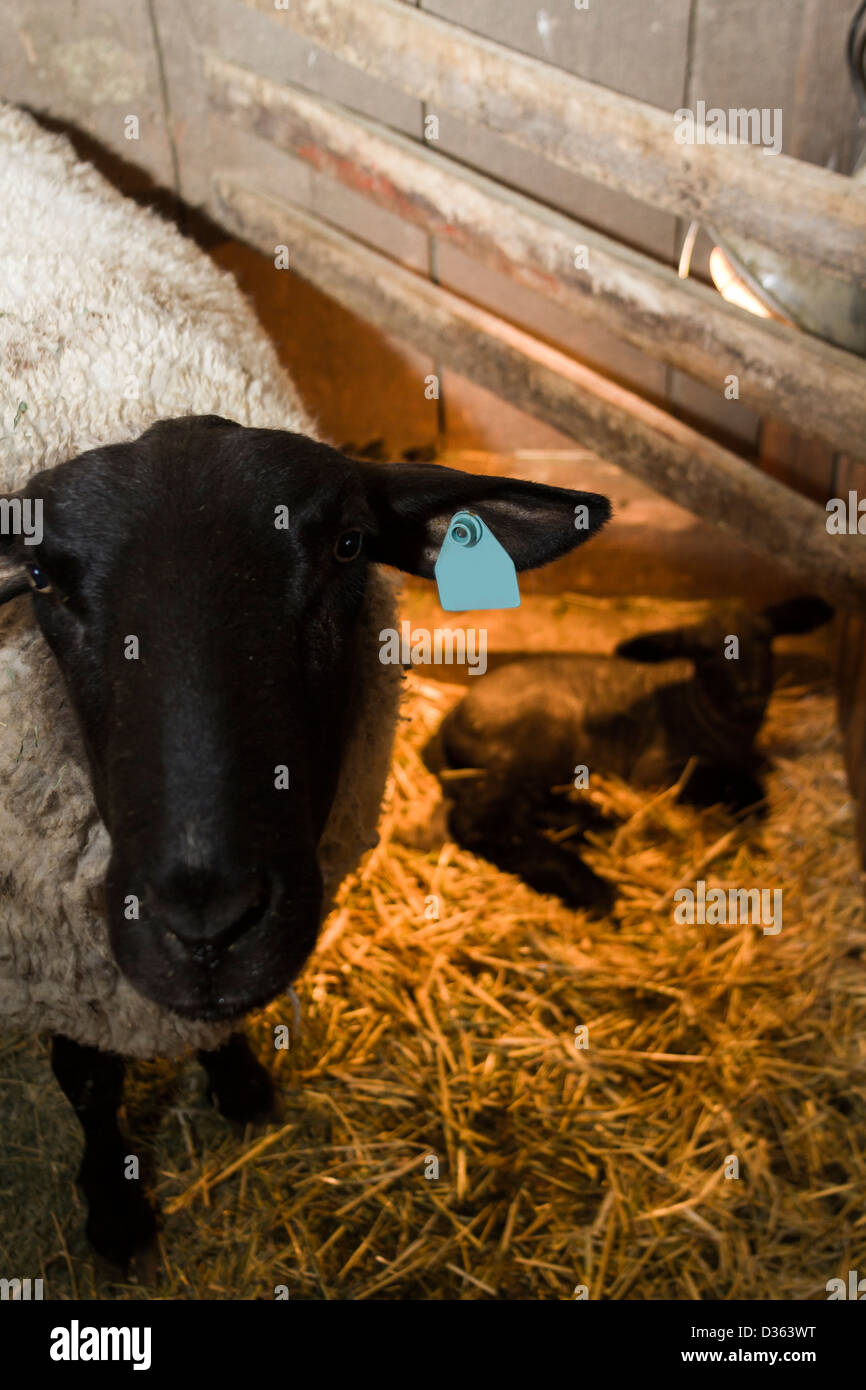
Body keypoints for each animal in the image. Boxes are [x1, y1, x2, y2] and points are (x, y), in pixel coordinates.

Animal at [0, 103, 611, 1266]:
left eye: (345, 546)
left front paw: (239, 1082)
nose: (206, 925)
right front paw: (113, 1207)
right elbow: (89, 1080)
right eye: (43, 579)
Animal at [434, 596, 833, 914]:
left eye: (767, 642)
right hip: (538, 738)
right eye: (705, 657)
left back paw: (594, 823)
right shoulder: (657, 768)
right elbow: (719, 782)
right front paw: (751, 800)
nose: (749, 697)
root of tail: (452, 718)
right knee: (480, 818)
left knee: (528, 803)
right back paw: (588, 886)